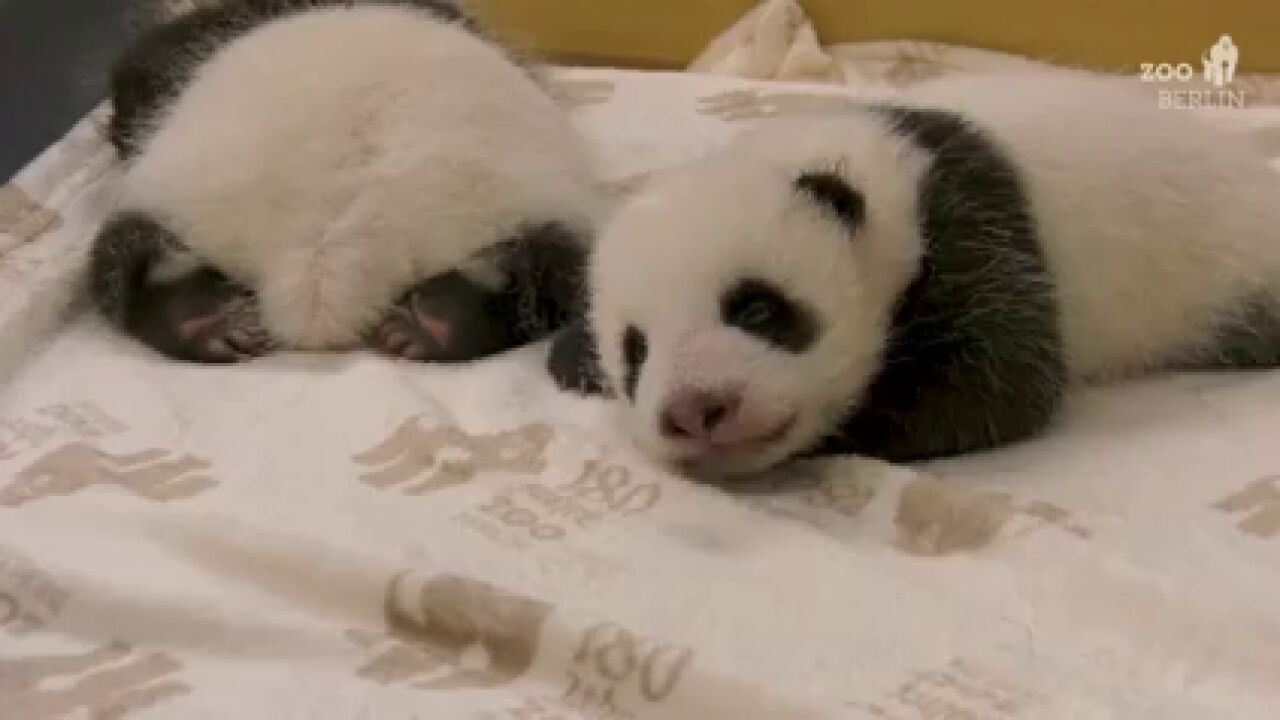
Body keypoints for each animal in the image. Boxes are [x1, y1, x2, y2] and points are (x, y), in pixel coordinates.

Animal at [548, 73, 1280, 479]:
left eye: (756, 308)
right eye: (635, 352)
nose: (694, 410)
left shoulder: (971, 224)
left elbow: (1003, 383)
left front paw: (852, 427)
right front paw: (569, 355)